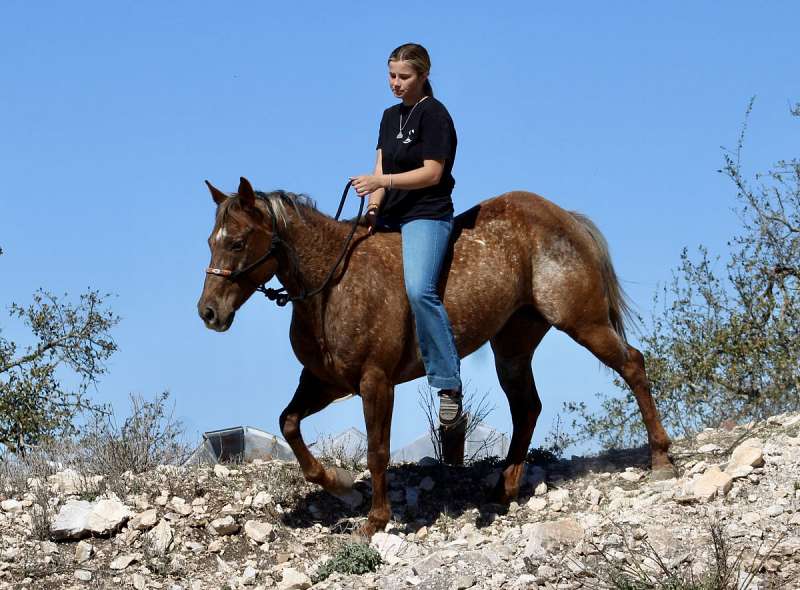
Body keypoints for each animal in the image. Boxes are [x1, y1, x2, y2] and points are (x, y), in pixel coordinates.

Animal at [197, 177, 673, 536]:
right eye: (211, 241)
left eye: (237, 242)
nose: (208, 312)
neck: (334, 282)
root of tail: (565, 218)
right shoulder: (323, 382)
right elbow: (289, 424)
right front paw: (342, 487)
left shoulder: (375, 382)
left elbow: (378, 451)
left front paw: (375, 520)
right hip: (513, 347)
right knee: (527, 408)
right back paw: (504, 489)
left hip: (584, 323)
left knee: (633, 365)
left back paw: (661, 460)